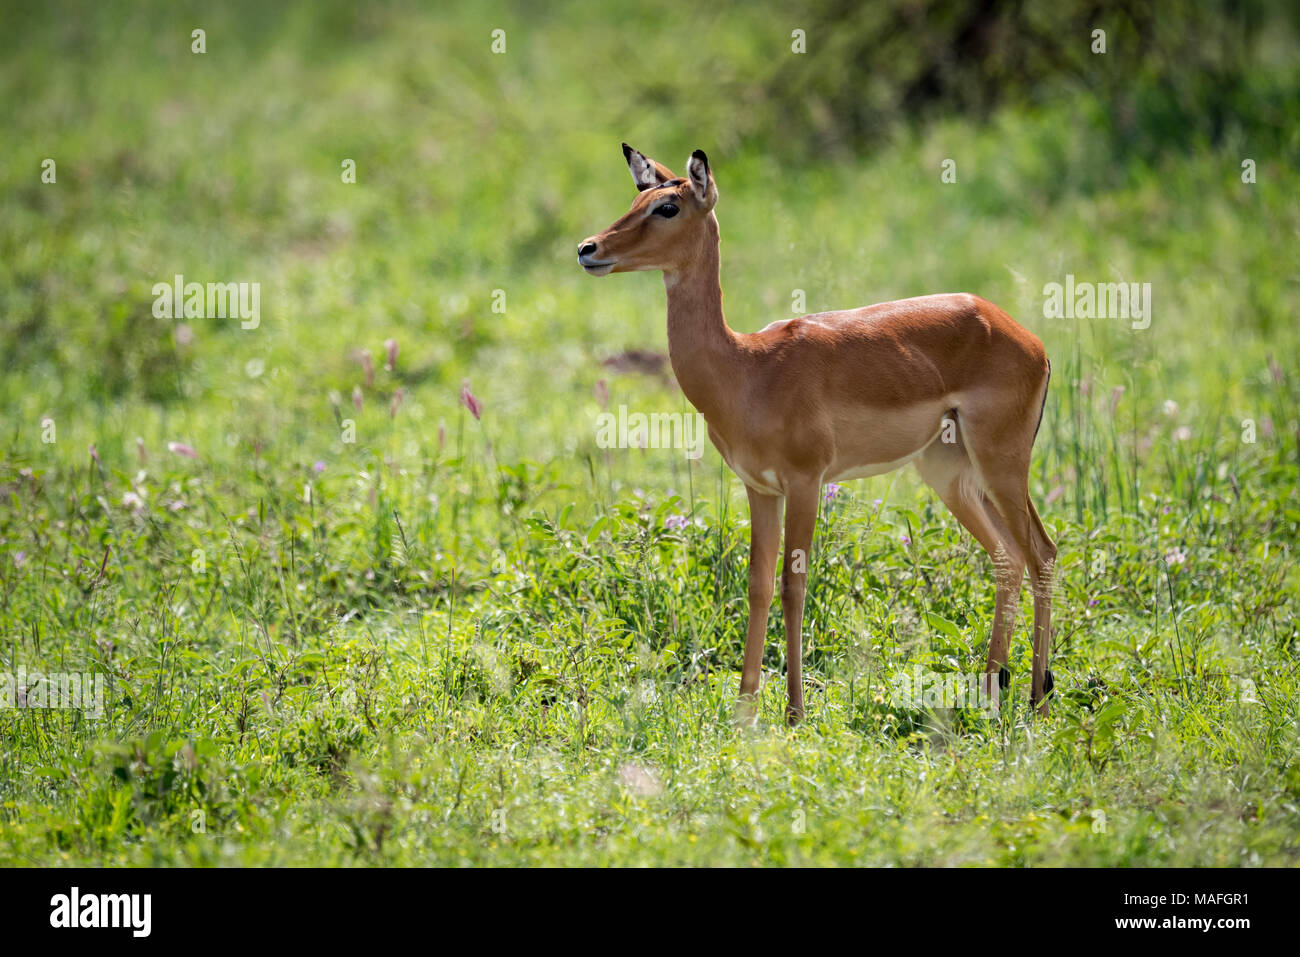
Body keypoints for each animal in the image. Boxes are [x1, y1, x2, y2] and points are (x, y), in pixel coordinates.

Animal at [578, 144, 1057, 724]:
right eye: (635, 200)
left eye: (667, 207)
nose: (588, 249)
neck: (746, 368)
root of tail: (1026, 338)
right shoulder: (760, 488)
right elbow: (758, 585)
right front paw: (744, 710)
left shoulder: (805, 482)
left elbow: (793, 584)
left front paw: (794, 711)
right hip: (951, 474)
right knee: (1008, 557)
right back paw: (990, 691)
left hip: (1002, 463)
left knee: (1042, 553)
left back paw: (1037, 698)